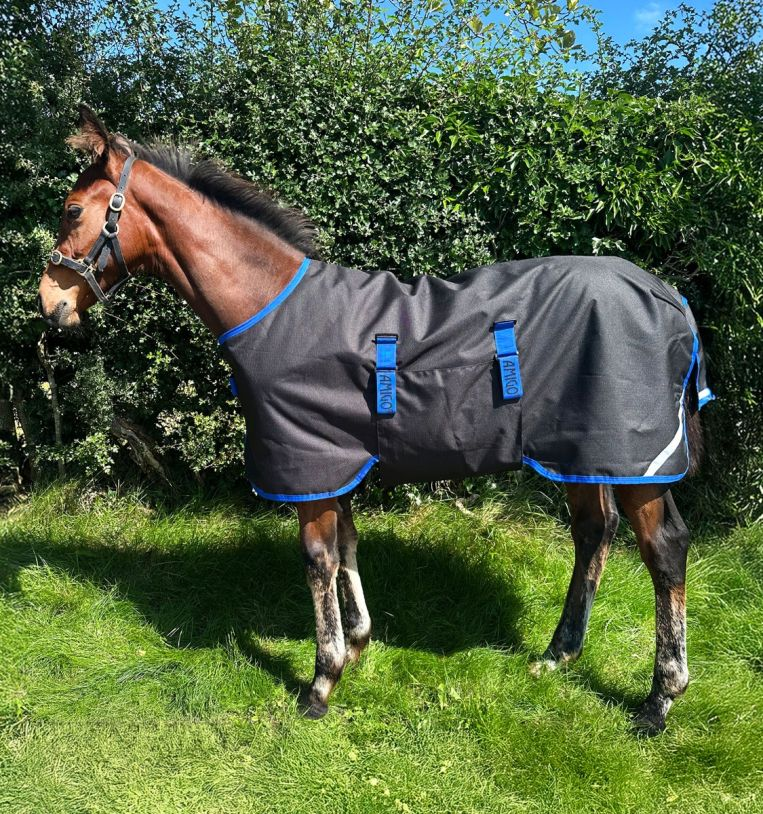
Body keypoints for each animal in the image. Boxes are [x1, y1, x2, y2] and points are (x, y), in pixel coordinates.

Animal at [38, 105, 714, 735]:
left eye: (72, 210)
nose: (50, 304)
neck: (273, 308)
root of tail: (668, 296)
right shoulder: (333, 461)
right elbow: (347, 543)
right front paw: (359, 644)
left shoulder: (309, 464)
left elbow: (318, 559)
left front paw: (321, 681)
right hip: (583, 453)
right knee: (594, 533)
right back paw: (558, 655)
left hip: (635, 460)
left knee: (664, 550)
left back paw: (660, 699)